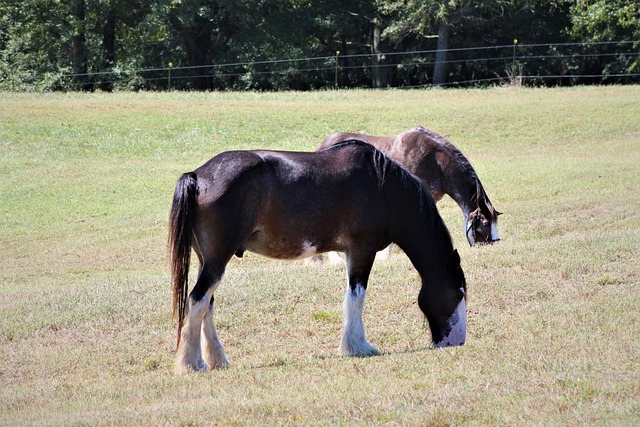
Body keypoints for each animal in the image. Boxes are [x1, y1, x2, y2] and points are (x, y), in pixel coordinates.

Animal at [168, 140, 467, 375]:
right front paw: (358, 346)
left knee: (206, 305)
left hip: (208, 261)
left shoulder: (350, 253)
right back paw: (192, 364)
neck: (383, 187)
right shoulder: (362, 250)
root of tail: (198, 176)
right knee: (197, 301)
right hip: (217, 260)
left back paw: (217, 360)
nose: (457, 341)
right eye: (459, 293)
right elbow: (357, 296)